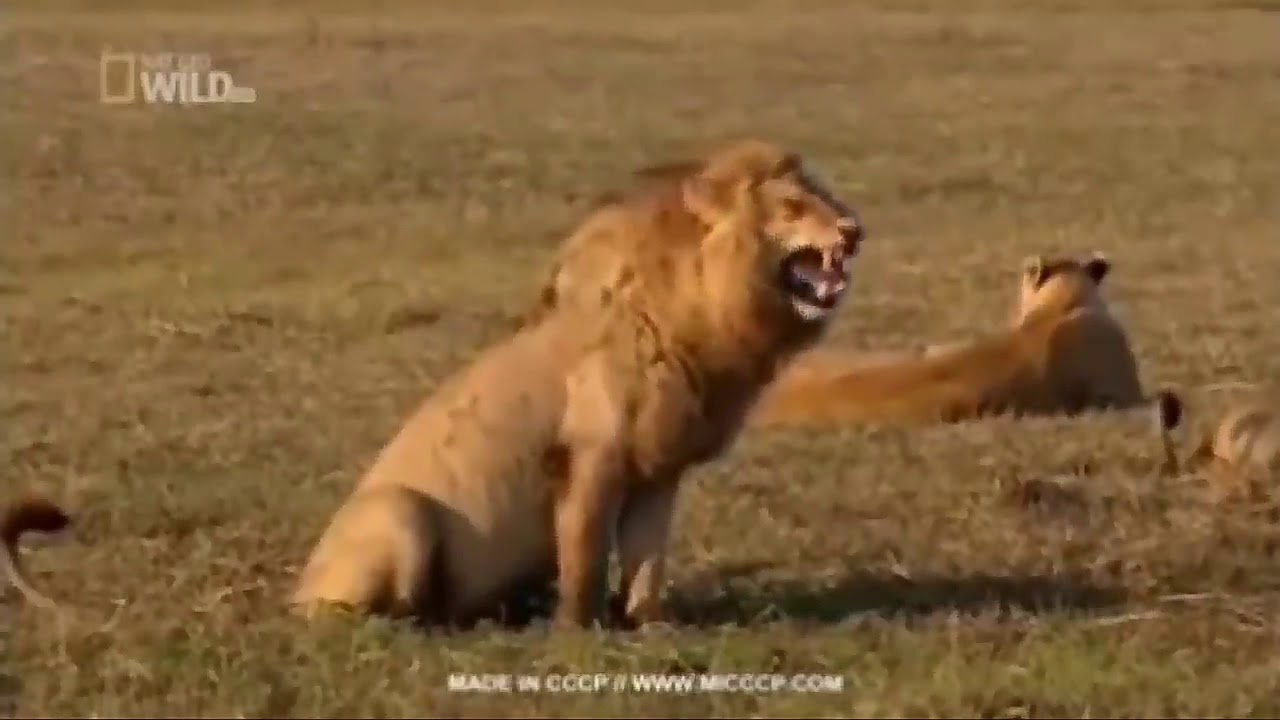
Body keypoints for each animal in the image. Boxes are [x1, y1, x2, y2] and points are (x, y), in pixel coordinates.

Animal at [290, 139, 865, 630]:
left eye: (827, 196)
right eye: (792, 206)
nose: (855, 230)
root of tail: (297, 589)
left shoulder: (657, 469)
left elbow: (647, 560)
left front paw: (650, 626)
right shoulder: (592, 455)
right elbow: (587, 555)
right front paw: (578, 631)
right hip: (398, 508)